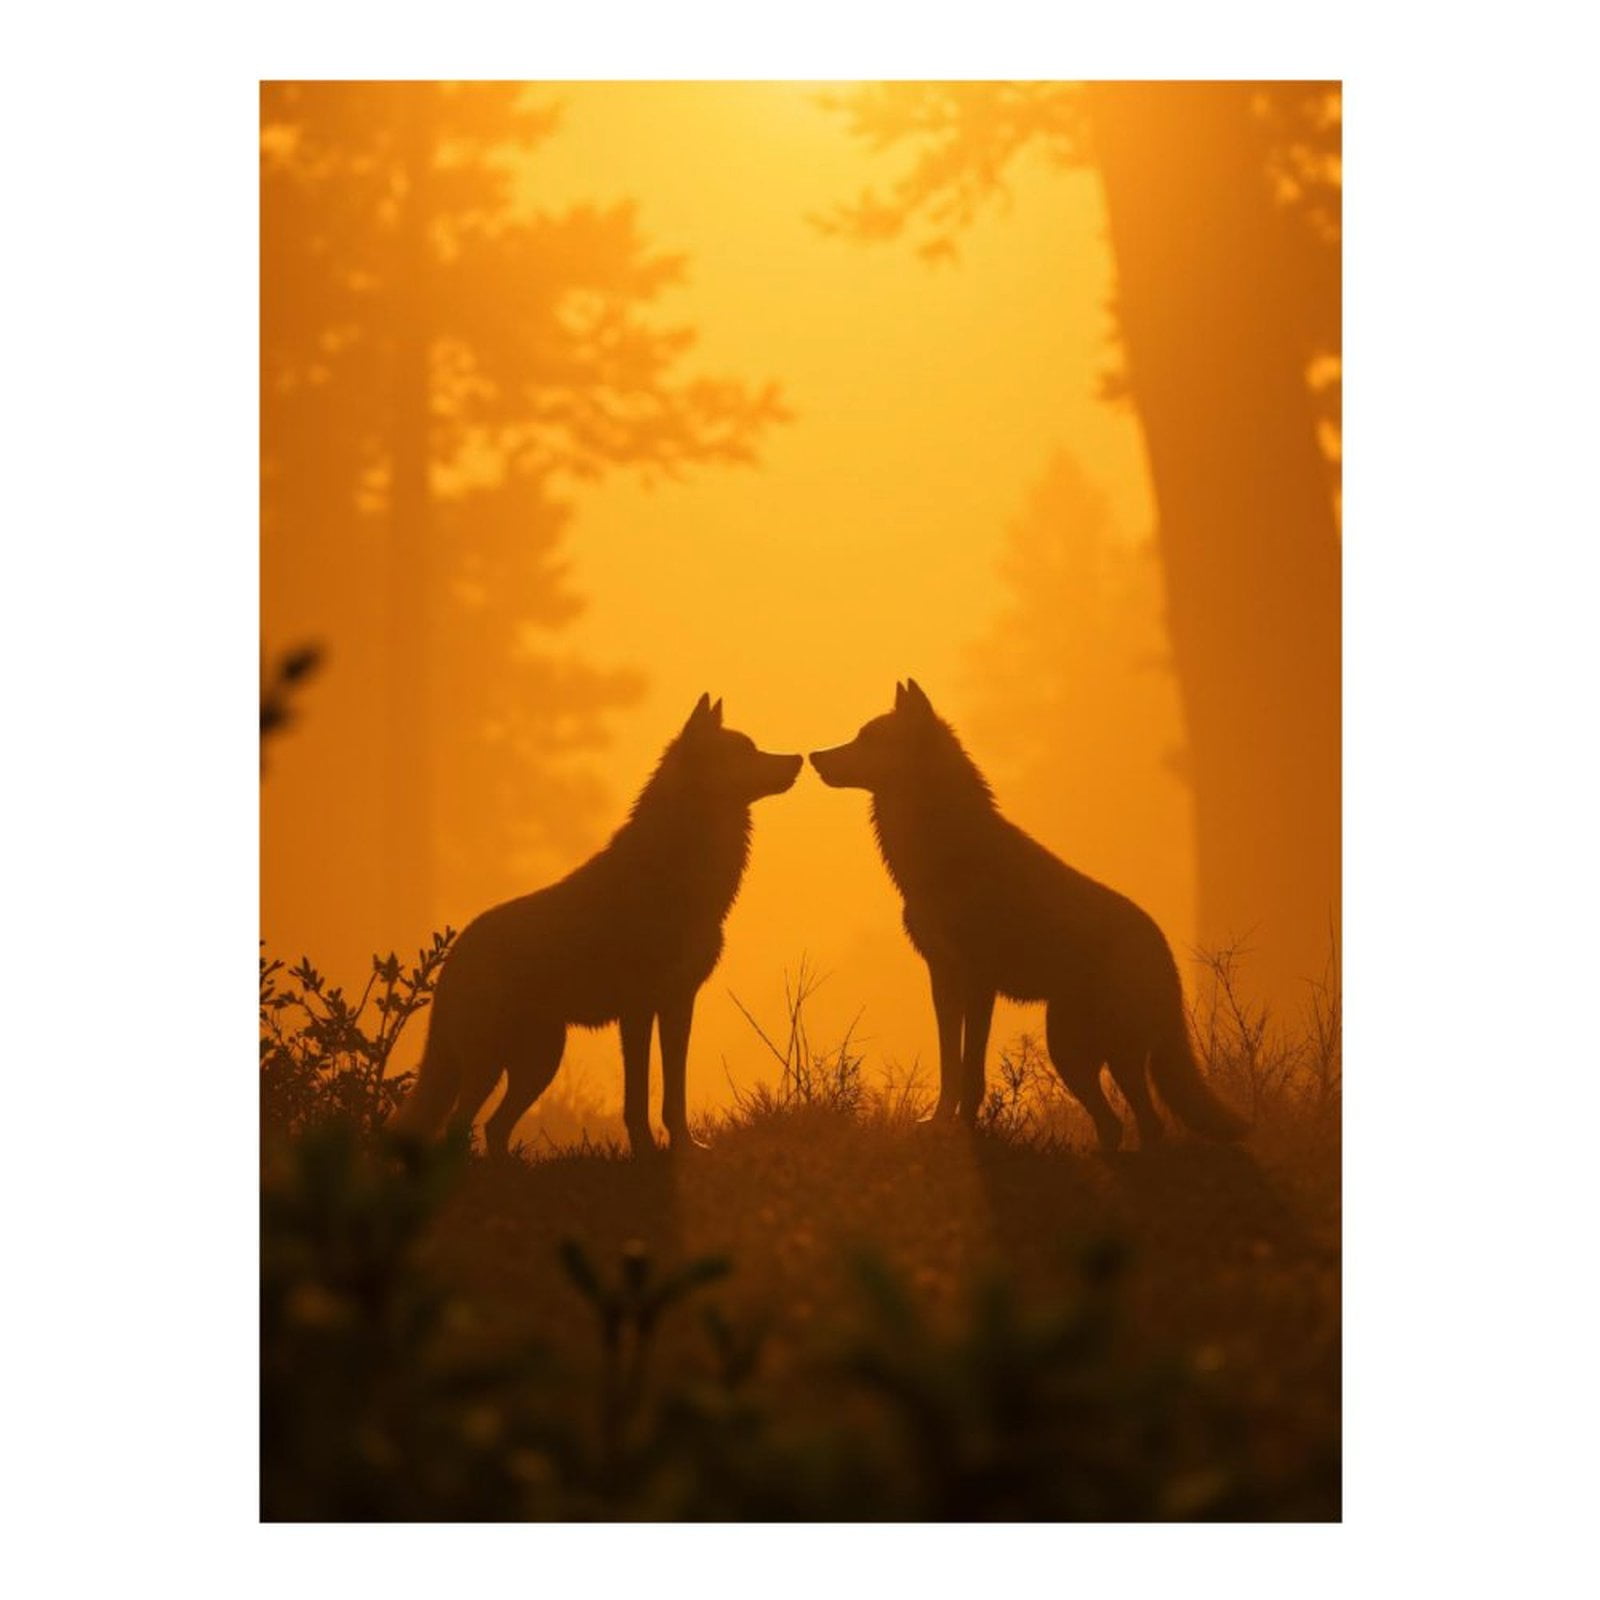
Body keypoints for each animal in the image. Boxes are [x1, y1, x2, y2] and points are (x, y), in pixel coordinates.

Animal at [390, 695, 803, 1157]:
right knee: (459, 1128)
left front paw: (685, 1147)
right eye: (745, 751)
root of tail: (455, 950)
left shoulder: (678, 1003)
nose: (798, 760)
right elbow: (636, 1099)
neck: (679, 874)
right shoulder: (637, 1010)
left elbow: (674, 1094)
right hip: (490, 1065)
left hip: (539, 1061)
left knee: (494, 1128)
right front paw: (645, 1153)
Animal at [809, 680, 1245, 1150]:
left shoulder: (980, 983)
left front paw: (968, 1131)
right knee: (1115, 1124)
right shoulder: (943, 979)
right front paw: (938, 1123)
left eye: (869, 738)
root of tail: (1162, 944)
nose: (815, 756)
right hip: (1070, 1052)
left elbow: (971, 1073)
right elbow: (949, 1068)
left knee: (1150, 1123)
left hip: (1107, 1054)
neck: (941, 856)